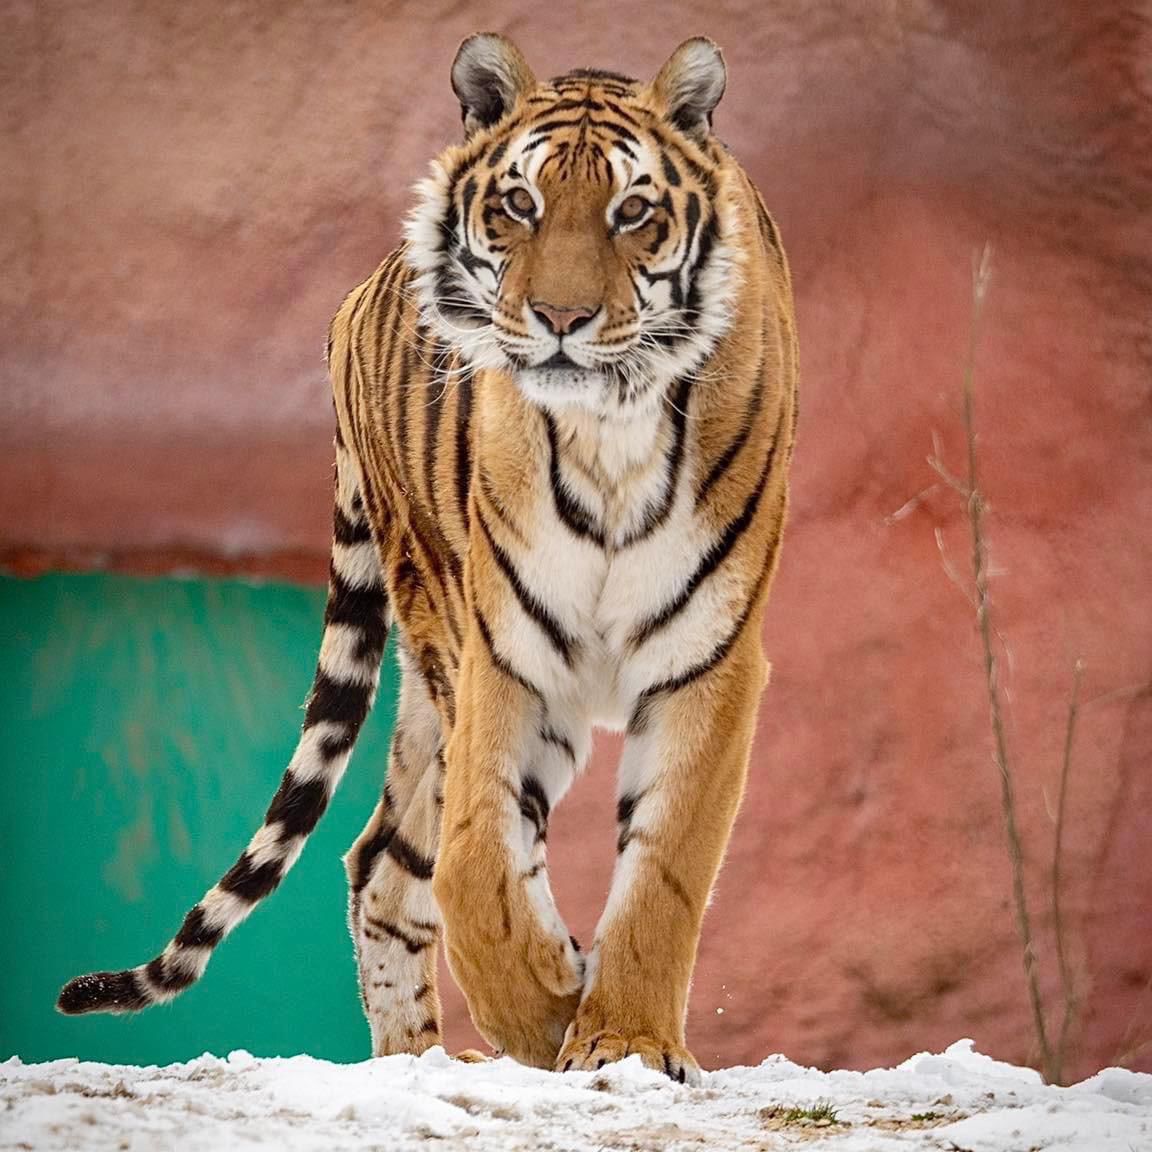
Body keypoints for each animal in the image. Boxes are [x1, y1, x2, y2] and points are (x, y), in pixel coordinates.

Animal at [57, 33, 798, 1084]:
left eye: (633, 211)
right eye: (520, 204)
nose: (561, 318)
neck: (606, 434)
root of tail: (356, 296)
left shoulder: (710, 662)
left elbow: (665, 867)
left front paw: (624, 1038)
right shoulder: (505, 659)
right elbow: (476, 863)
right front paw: (548, 1009)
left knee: (383, 858)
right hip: (438, 626)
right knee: (398, 860)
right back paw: (427, 1062)